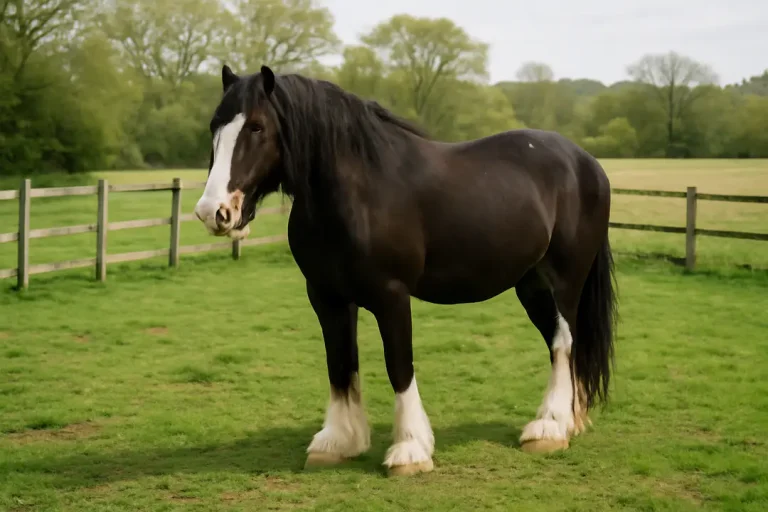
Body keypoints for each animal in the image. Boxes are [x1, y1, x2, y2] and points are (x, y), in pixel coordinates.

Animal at [193, 64, 618, 476]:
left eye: (256, 127)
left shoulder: (392, 295)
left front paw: (410, 449)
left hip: (563, 283)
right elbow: (340, 365)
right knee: (561, 345)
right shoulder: (328, 298)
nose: (213, 212)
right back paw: (570, 420)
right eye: (215, 125)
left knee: (564, 343)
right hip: (530, 287)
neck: (358, 192)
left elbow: (398, 365)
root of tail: (587, 162)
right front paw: (338, 443)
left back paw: (550, 427)